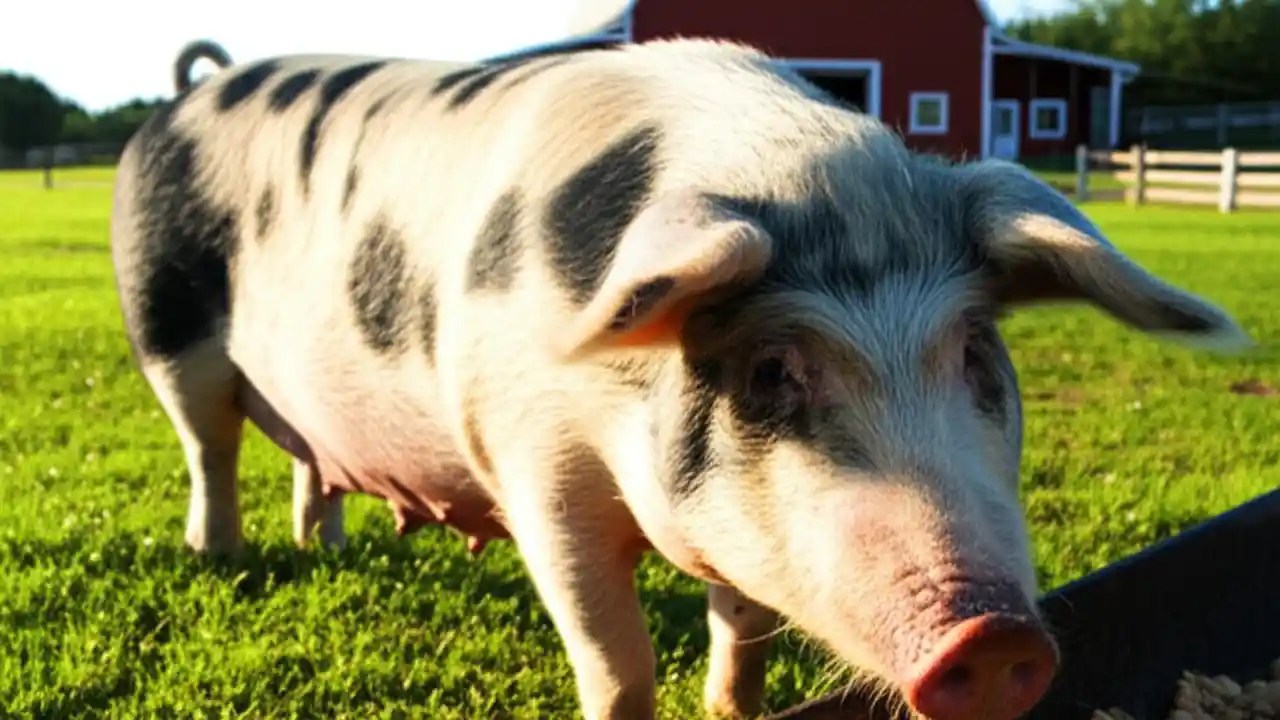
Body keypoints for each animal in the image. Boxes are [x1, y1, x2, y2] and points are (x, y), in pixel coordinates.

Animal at [109, 36, 1251, 720]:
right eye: (772, 368)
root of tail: (187, 94)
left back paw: (325, 547)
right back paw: (221, 558)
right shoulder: (536, 471)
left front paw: (731, 707)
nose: (997, 633)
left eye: (973, 352)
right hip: (164, 326)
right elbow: (614, 657)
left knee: (309, 462)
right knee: (209, 451)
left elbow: (741, 626)